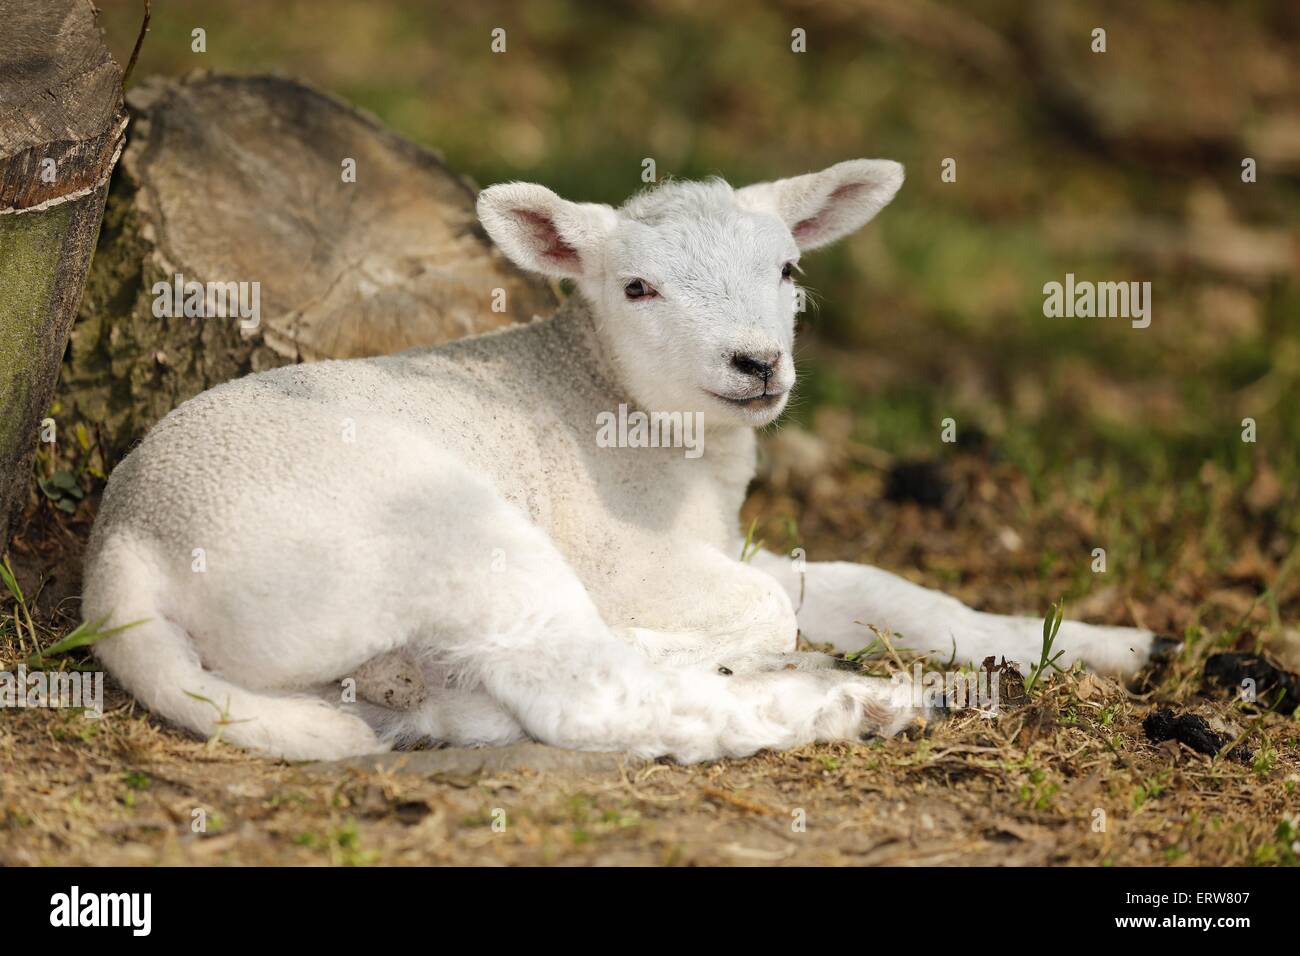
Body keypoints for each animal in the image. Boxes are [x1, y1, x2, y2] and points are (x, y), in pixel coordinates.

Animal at [81, 159, 1163, 762]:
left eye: (788, 268)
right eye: (637, 287)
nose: (757, 362)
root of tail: (123, 547)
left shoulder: (722, 545)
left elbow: (885, 587)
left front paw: (1103, 643)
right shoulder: (625, 554)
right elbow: (764, 609)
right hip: (440, 532)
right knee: (585, 693)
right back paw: (856, 704)